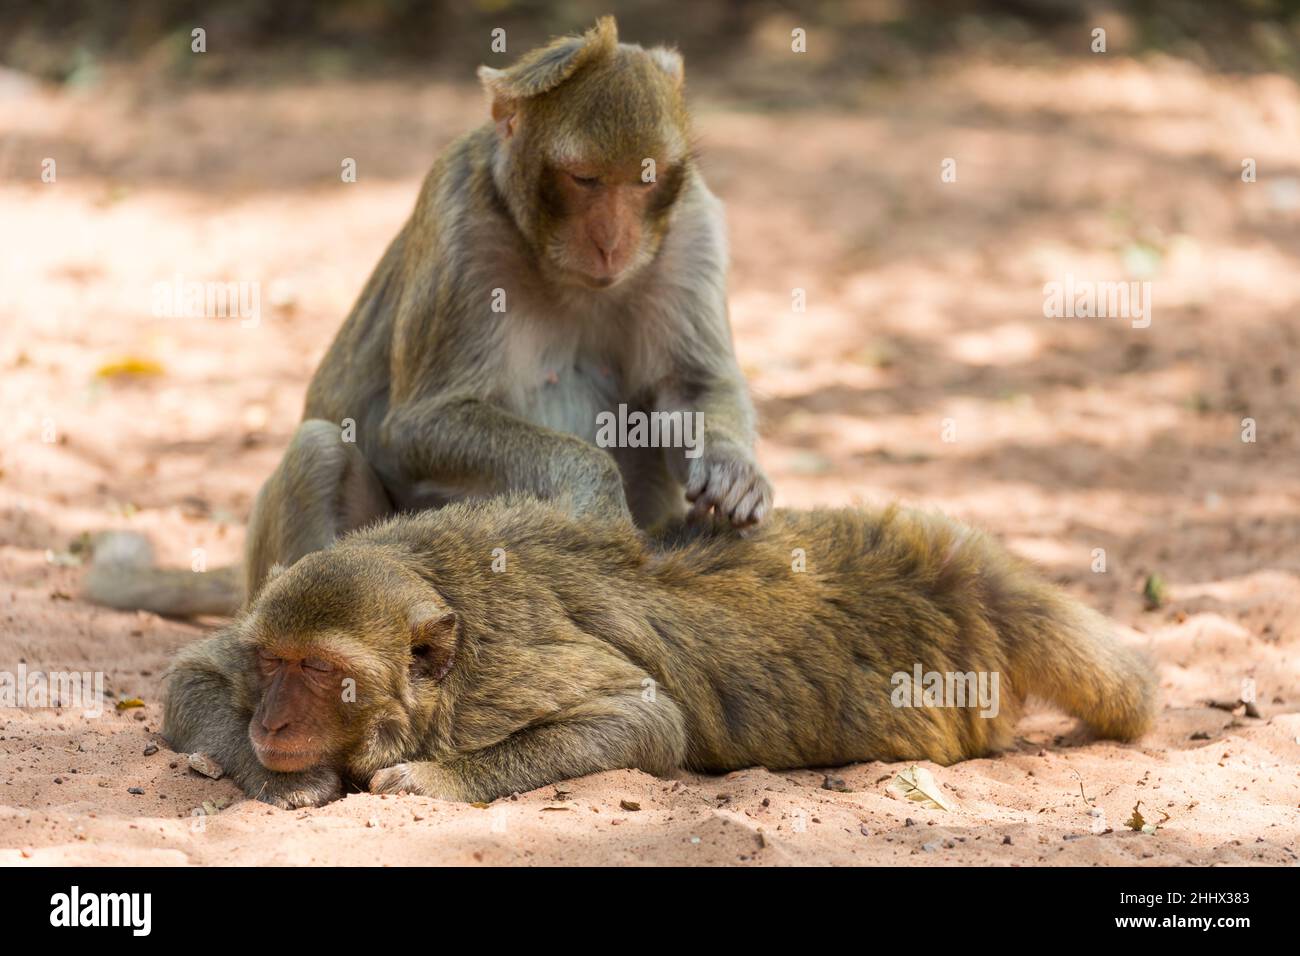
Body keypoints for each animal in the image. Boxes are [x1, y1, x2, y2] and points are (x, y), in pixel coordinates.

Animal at [86, 17, 770, 618]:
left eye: (643, 181)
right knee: (319, 450)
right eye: (585, 180)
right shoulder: (460, 223)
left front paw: (733, 474)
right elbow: (418, 425)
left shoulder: (691, 231)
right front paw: (594, 489)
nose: (612, 244)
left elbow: (692, 386)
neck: (555, 263)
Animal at [161, 495, 1156, 808]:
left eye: (325, 675)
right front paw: (285, 783)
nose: (273, 722)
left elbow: (647, 722)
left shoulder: (498, 678)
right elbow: (188, 676)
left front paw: (430, 779)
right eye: (275, 664)